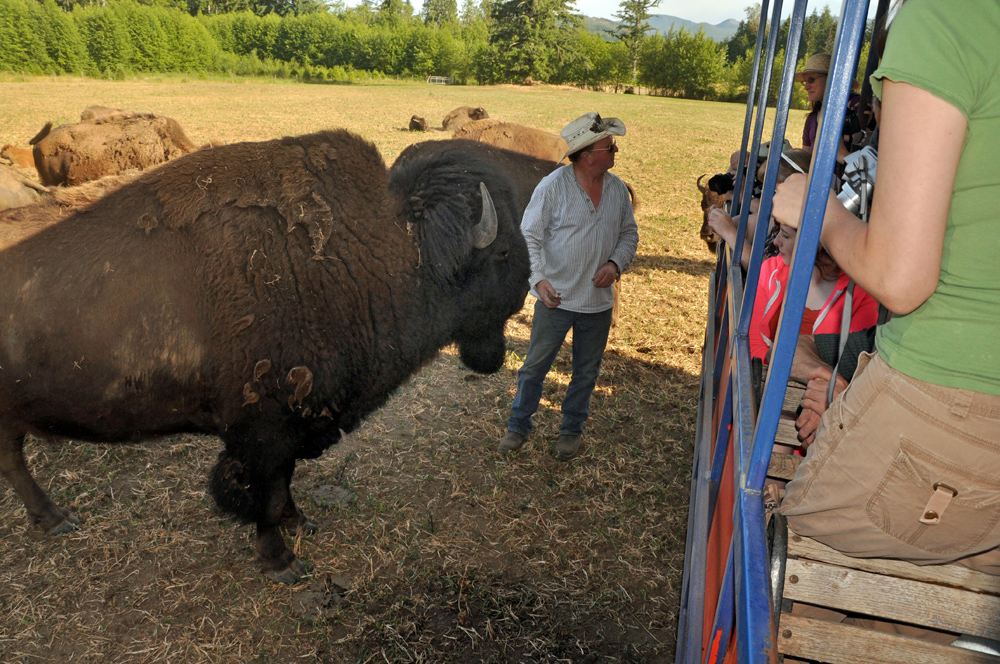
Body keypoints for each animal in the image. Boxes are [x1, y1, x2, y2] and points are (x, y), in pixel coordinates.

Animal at [0, 129, 531, 583]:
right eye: (504, 252)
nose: (527, 291)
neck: (383, 251)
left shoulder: (288, 427)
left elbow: (283, 487)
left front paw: (302, 524)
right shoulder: (262, 432)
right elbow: (266, 497)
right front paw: (281, 562)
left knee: (12, 459)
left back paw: (52, 519)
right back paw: (56, 518)